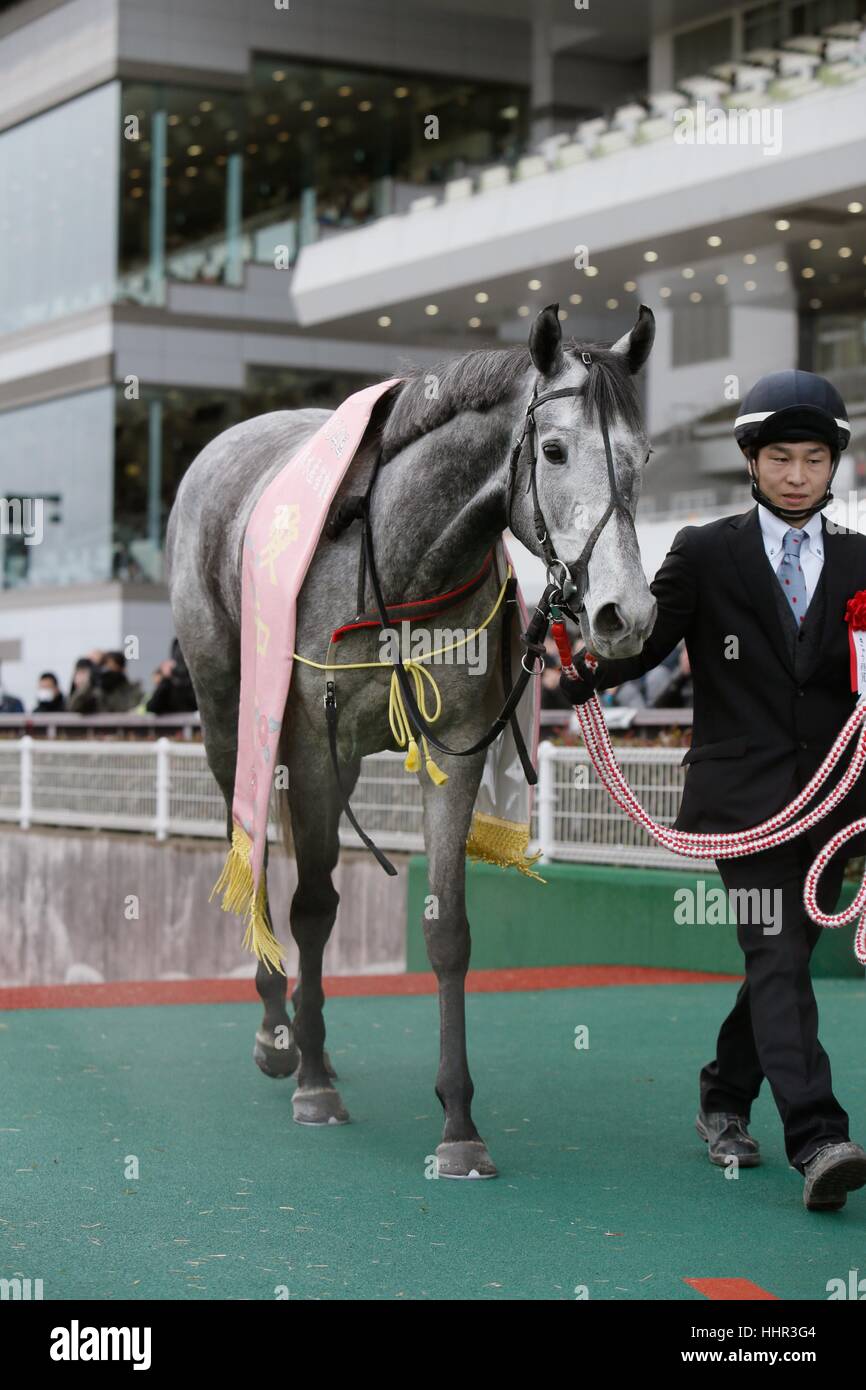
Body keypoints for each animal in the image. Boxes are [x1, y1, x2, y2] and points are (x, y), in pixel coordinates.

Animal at [166, 302, 657, 1178]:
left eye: (640, 457)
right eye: (555, 450)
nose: (623, 614)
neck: (402, 558)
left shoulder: (456, 744)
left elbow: (446, 929)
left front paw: (458, 1123)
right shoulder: (311, 738)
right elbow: (315, 906)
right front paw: (315, 1085)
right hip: (230, 710)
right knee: (252, 846)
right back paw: (280, 1031)